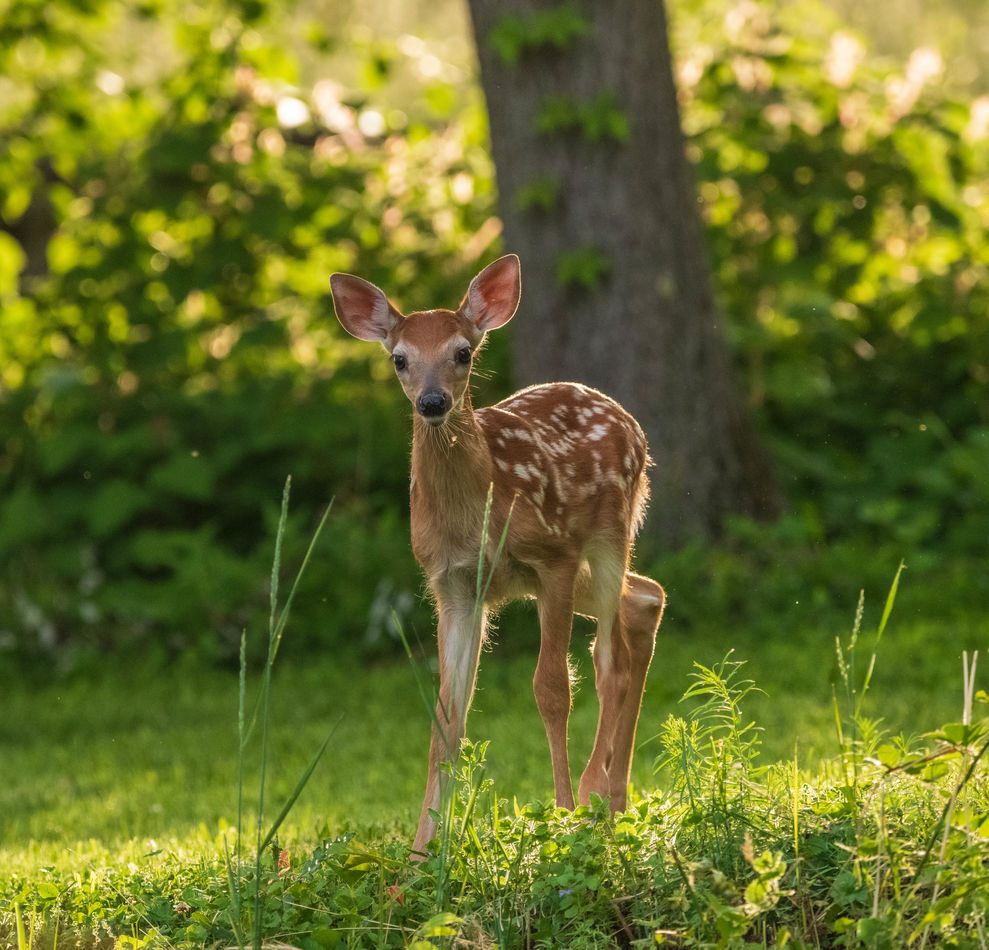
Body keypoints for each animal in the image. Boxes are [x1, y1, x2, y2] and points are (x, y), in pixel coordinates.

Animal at [329, 254, 665, 858]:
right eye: (399, 359)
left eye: (463, 352)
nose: (432, 402)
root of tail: (627, 418)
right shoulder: (454, 585)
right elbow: (446, 718)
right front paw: (421, 853)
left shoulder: (554, 556)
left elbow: (551, 689)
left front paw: (562, 815)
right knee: (646, 598)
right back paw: (617, 800)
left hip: (607, 535)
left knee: (612, 661)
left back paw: (594, 794)